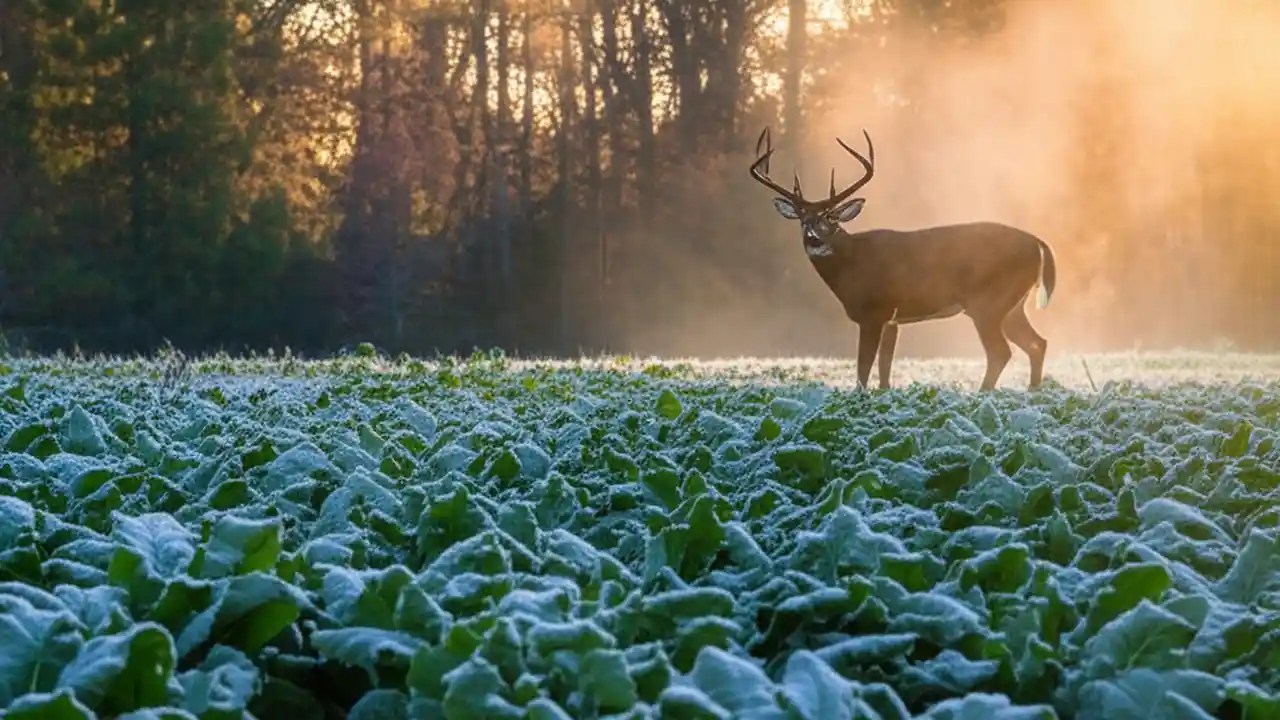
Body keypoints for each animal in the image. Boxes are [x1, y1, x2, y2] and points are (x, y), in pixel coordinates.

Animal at [749, 127, 1057, 391]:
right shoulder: (893, 319)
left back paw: (984, 395)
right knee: (1037, 344)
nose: (814, 239)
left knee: (1001, 352)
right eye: (802, 219)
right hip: (1013, 304)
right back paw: (1033, 392)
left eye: (831, 219)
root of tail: (1037, 242)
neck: (852, 267)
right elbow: (885, 370)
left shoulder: (875, 312)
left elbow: (863, 369)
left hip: (989, 302)